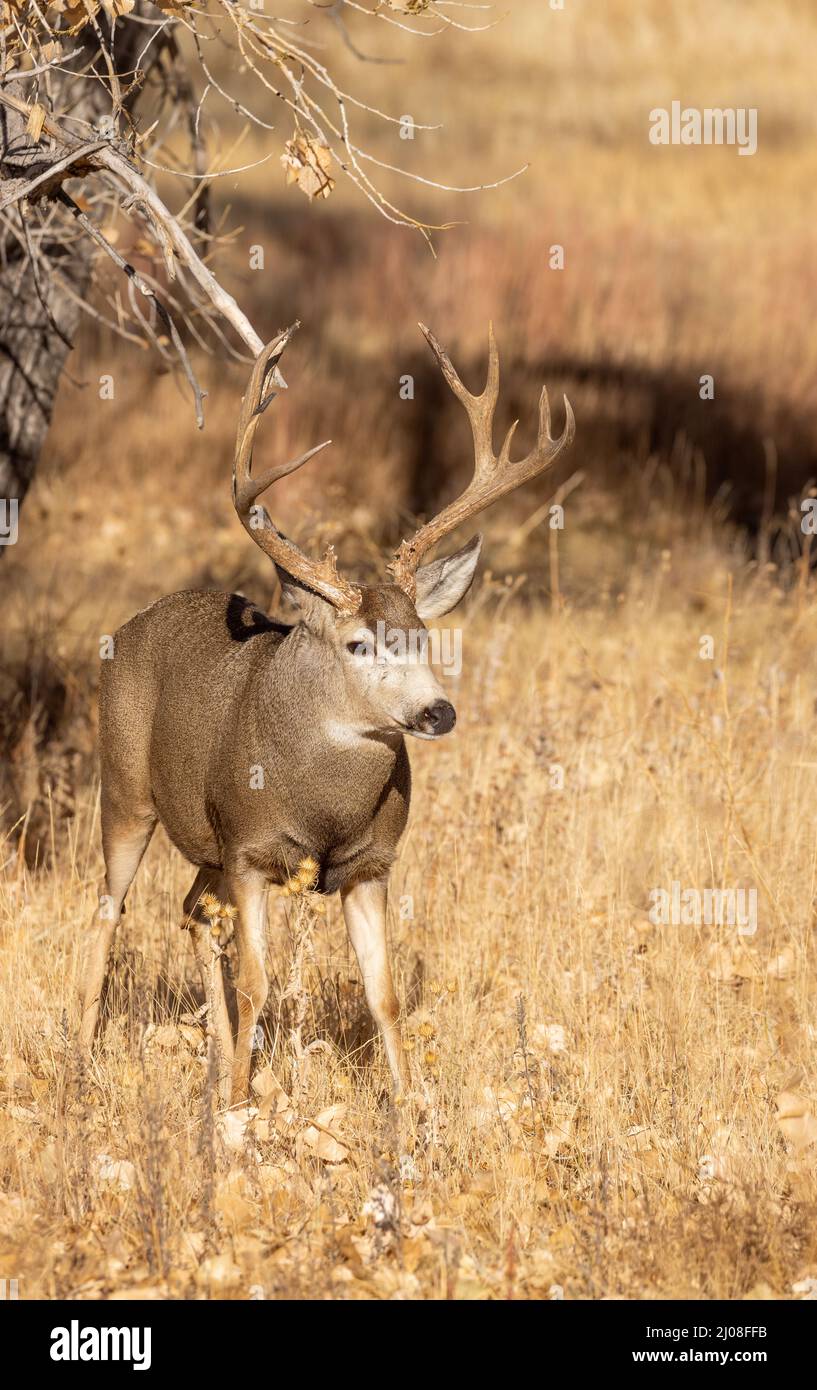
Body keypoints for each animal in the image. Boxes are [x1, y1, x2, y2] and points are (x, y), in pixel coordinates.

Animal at [79, 322, 574, 1107]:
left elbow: (385, 994)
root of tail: (126, 627)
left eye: (424, 636)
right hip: (126, 790)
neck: (325, 805)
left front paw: (405, 1108)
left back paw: (213, 1061)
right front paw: (242, 1109)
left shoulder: (372, 865)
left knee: (189, 911)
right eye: (357, 642)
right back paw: (81, 1062)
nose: (438, 711)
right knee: (108, 911)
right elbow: (256, 982)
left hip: (205, 847)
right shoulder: (249, 849)